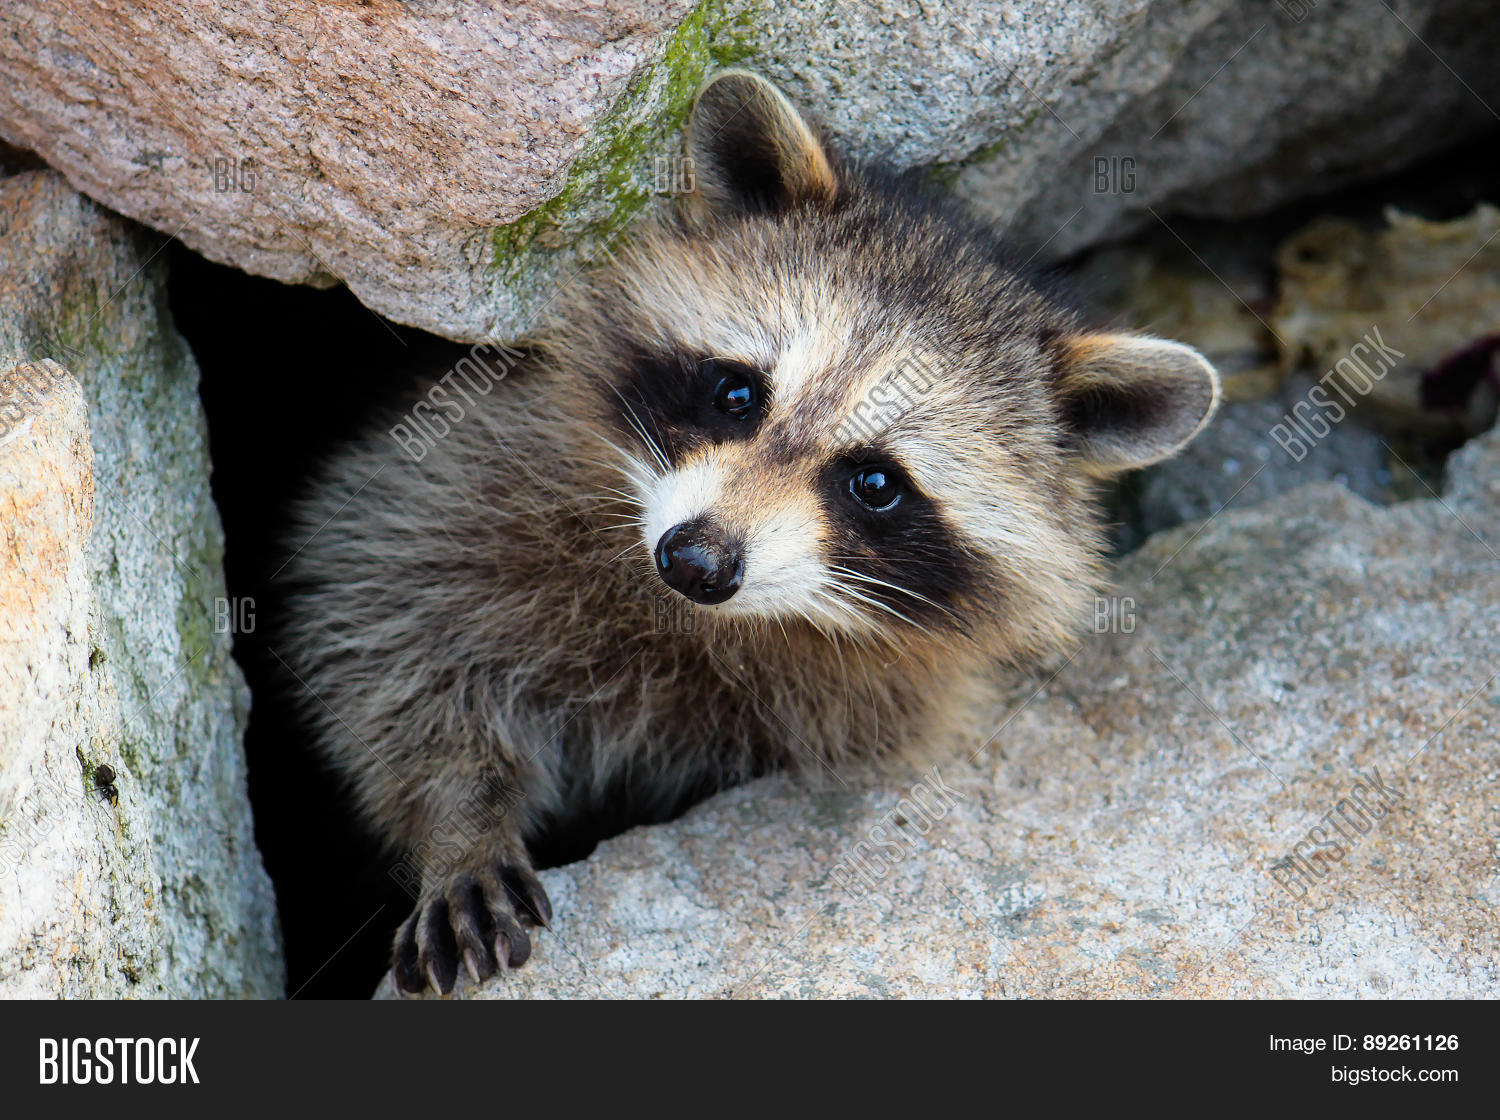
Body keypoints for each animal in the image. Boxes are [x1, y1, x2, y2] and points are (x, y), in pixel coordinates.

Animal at [278, 72, 1219, 995]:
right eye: (736, 393)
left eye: (876, 484)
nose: (696, 562)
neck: (706, 623)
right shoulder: (467, 472)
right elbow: (389, 634)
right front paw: (459, 823)